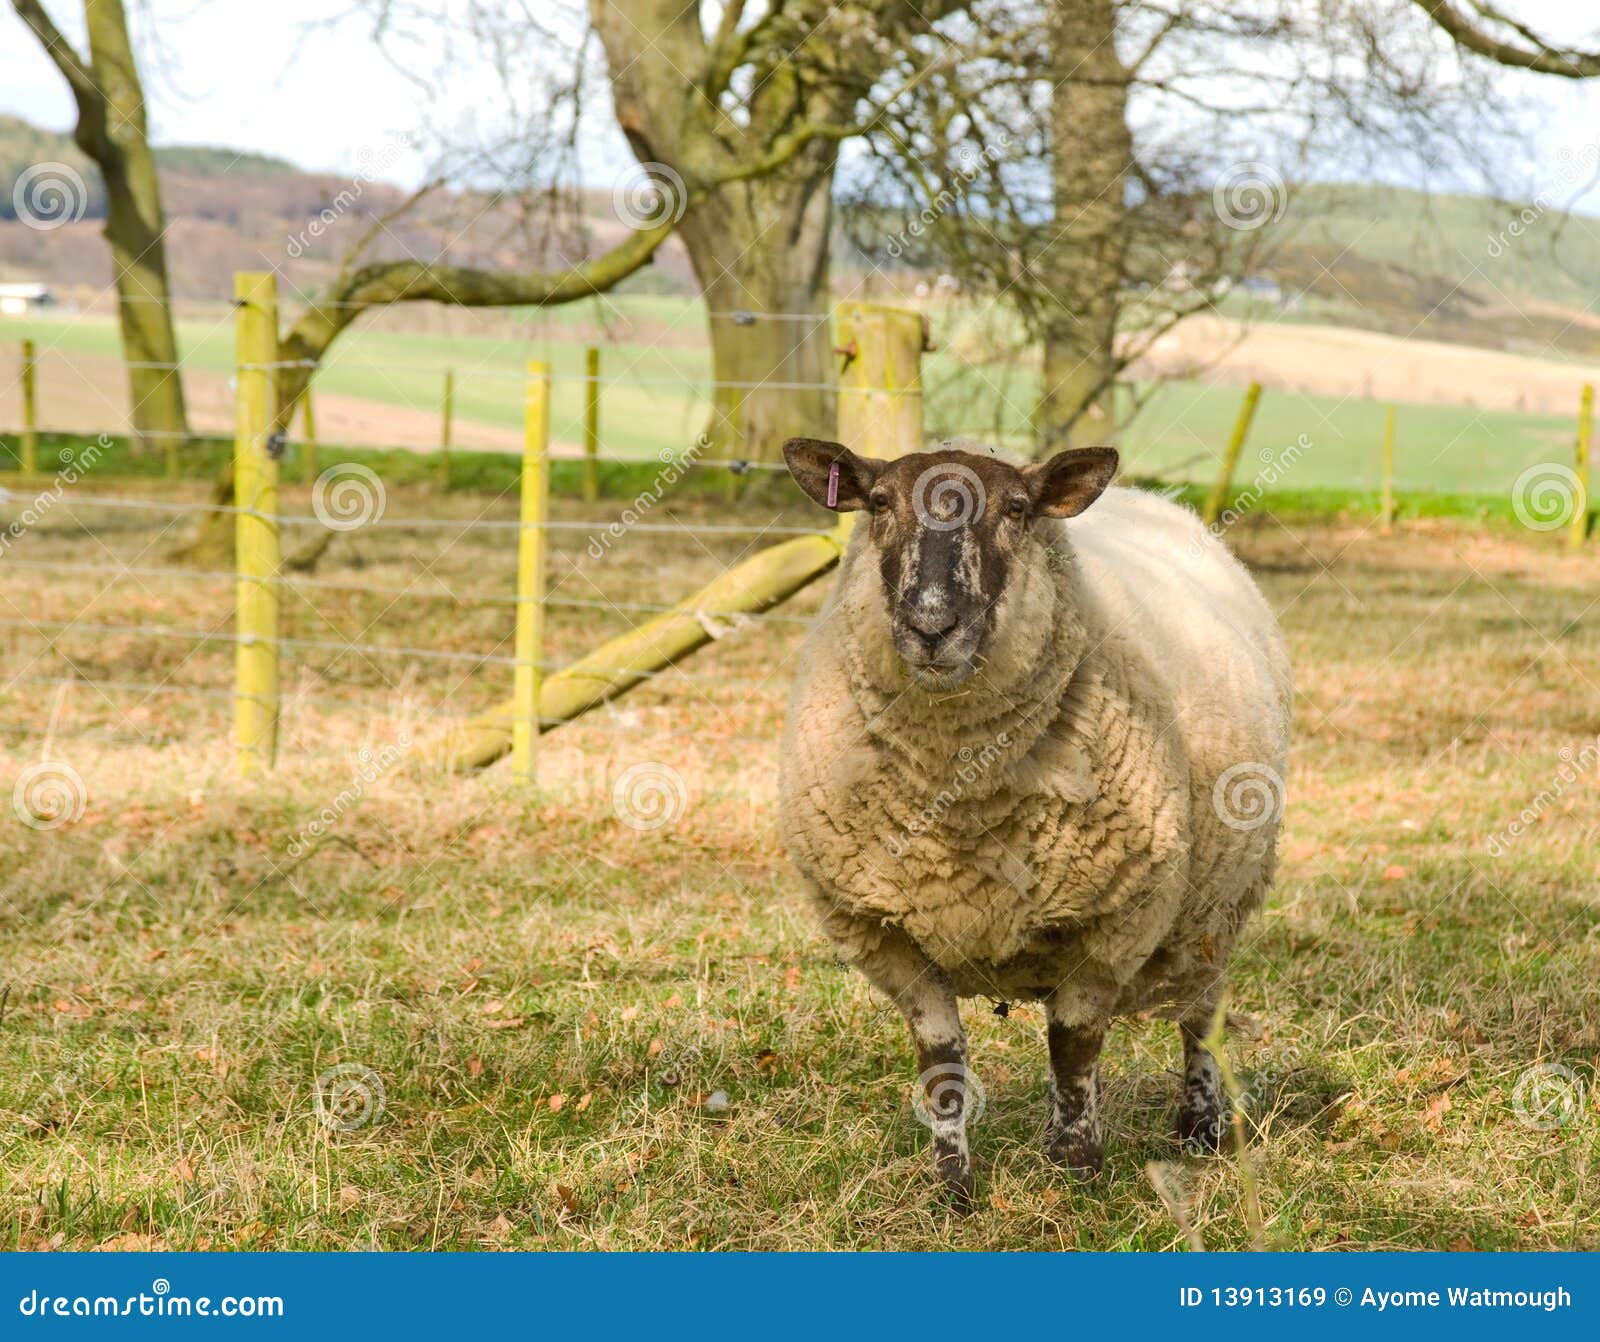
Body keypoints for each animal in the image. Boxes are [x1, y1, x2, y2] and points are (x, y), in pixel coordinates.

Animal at [777, 437, 1292, 1207]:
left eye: (1018, 510)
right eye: (878, 503)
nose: (932, 627)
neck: (957, 798)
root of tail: (1148, 497)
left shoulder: (1114, 918)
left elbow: (1074, 1046)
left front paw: (1075, 1173)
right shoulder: (885, 932)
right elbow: (942, 1063)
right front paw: (952, 1190)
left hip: (1217, 903)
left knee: (1201, 1015)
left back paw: (1200, 1129)